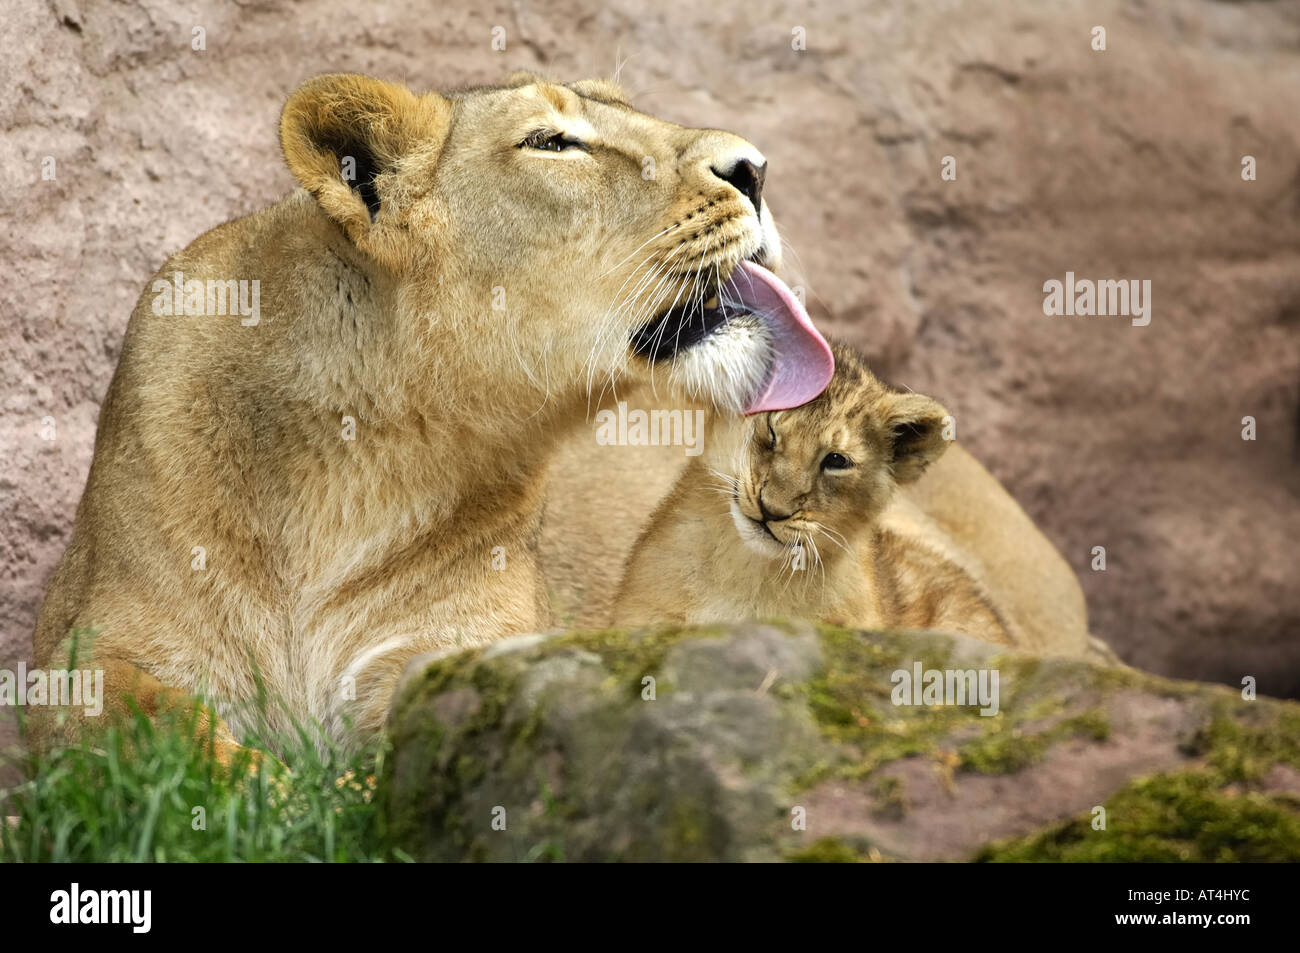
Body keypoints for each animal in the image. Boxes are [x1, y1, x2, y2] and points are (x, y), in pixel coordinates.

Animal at [30, 71, 836, 760]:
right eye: (552, 143)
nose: (756, 169)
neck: (355, 462)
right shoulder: (80, 656)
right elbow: (160, 724)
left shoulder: (467, 655)